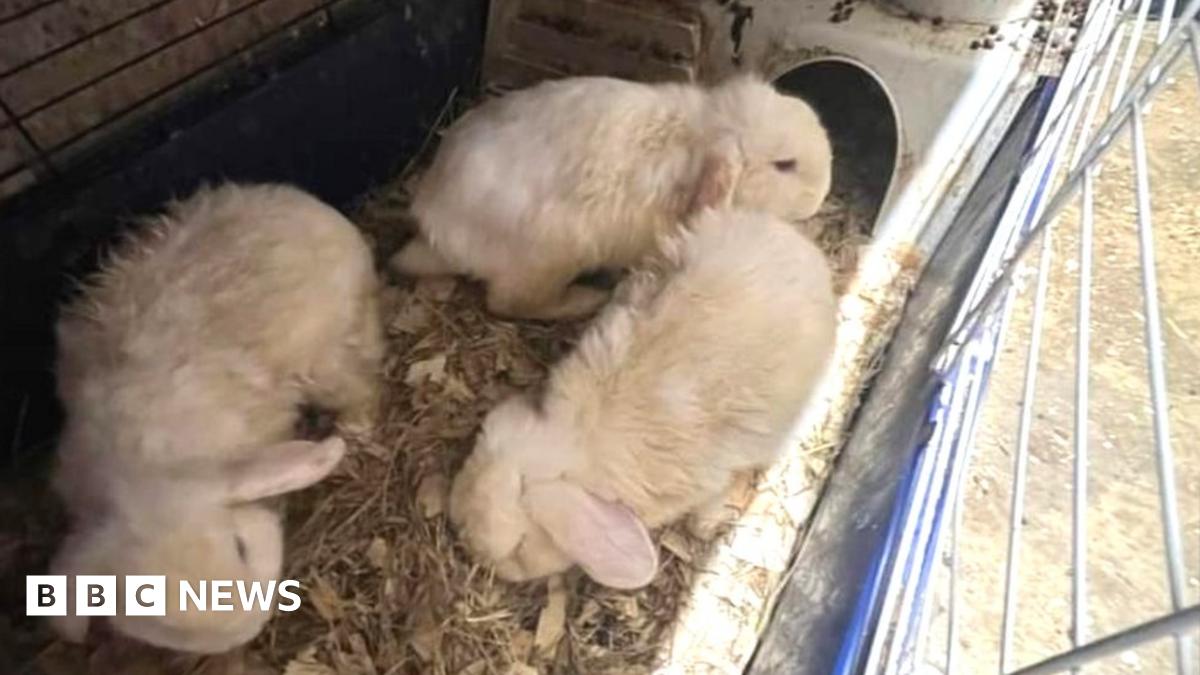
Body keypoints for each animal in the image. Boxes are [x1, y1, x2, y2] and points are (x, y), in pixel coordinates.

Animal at [46, 182, 384, 654]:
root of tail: (309, 205)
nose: (252, 626)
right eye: (166, 634)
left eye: (240, 547)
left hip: (330, 355)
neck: (138, 467)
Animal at [390, 73, 833, 320]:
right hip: (548, 260)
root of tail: (436, 229)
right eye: (785, 164)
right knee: (510, 304)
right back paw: (587, 300)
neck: (698, 138)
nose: (821, 196)